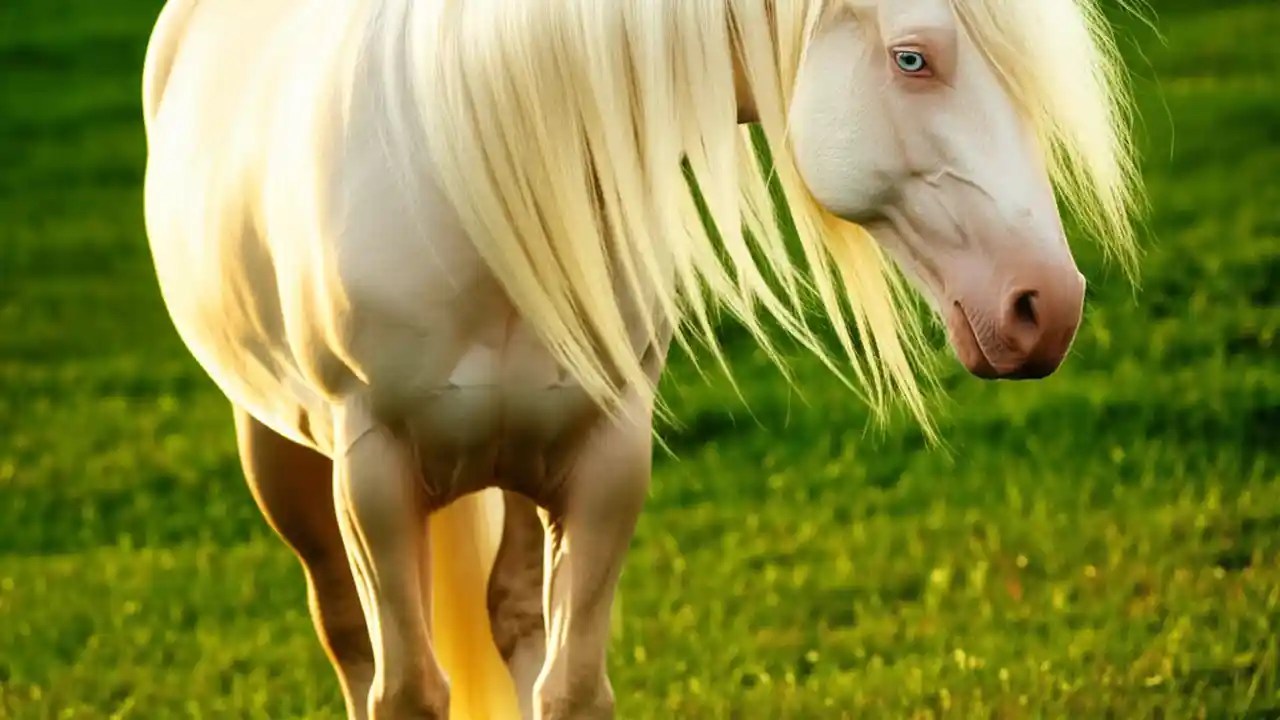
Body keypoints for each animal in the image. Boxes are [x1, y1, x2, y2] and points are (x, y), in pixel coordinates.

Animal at [140, 0, 1141, 717]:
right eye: (911, 58)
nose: (1047, 306)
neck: (476, 176)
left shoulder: (605, 466)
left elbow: (572, 687)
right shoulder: (375, 479)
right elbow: (407, 691)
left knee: (511, 618)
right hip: (283, 456)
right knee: (347, 634)